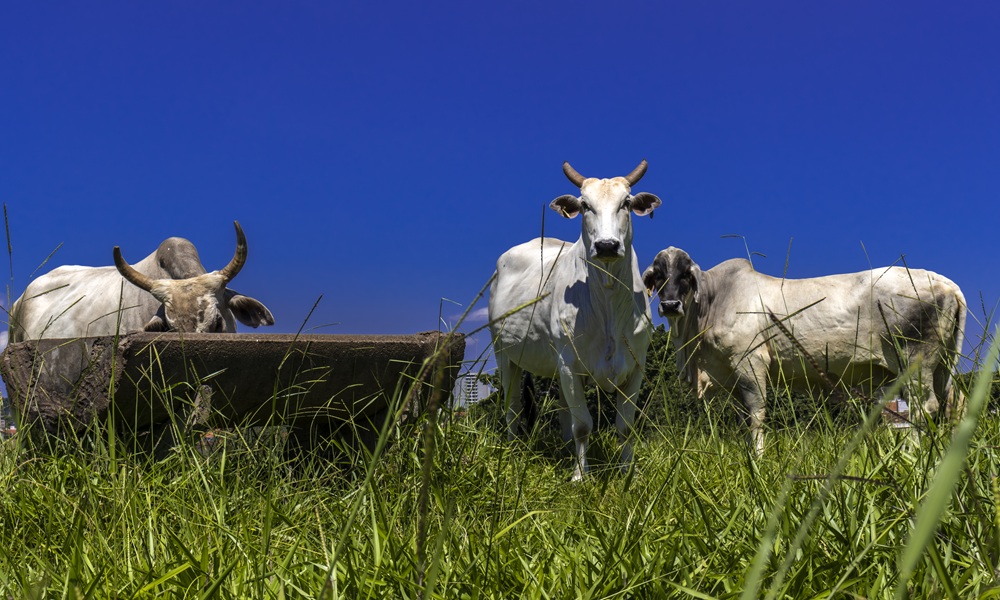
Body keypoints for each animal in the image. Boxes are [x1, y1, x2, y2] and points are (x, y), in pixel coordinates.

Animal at [489, 160, 662, 480]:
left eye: (626, 203)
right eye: (585, 206)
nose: (607, 245)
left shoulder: (636, 366)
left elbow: (625, 427)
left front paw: (627, 473)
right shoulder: (570, 364)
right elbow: (583, 425)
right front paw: (580, 476)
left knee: (562, 413)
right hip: (504, 354)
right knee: (513, 408)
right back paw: (513, 450)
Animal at [642, 246, 967, 454]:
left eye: (685, 274)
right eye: (658, 275)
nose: (670, 304)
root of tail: (946, 283)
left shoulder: (750, 363)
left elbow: (756, 417)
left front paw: (758, 460)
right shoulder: (734, 378)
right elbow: (744, 420)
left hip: (916, 361)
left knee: (923, 408)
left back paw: (913, 453)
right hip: (941, 365)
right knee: (950, 403)